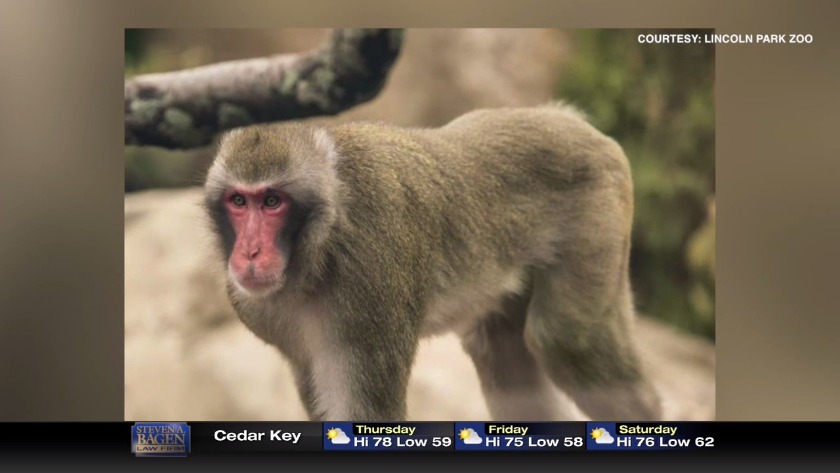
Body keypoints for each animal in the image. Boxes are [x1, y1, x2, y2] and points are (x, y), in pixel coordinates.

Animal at [204, 104, 661, 422]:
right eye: (239, 201)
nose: (249, 253)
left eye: (272, 201)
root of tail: (568, 119)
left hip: (598, 215)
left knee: (565, 336)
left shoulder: (373, 291)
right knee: (500, 348)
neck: (321, 248)